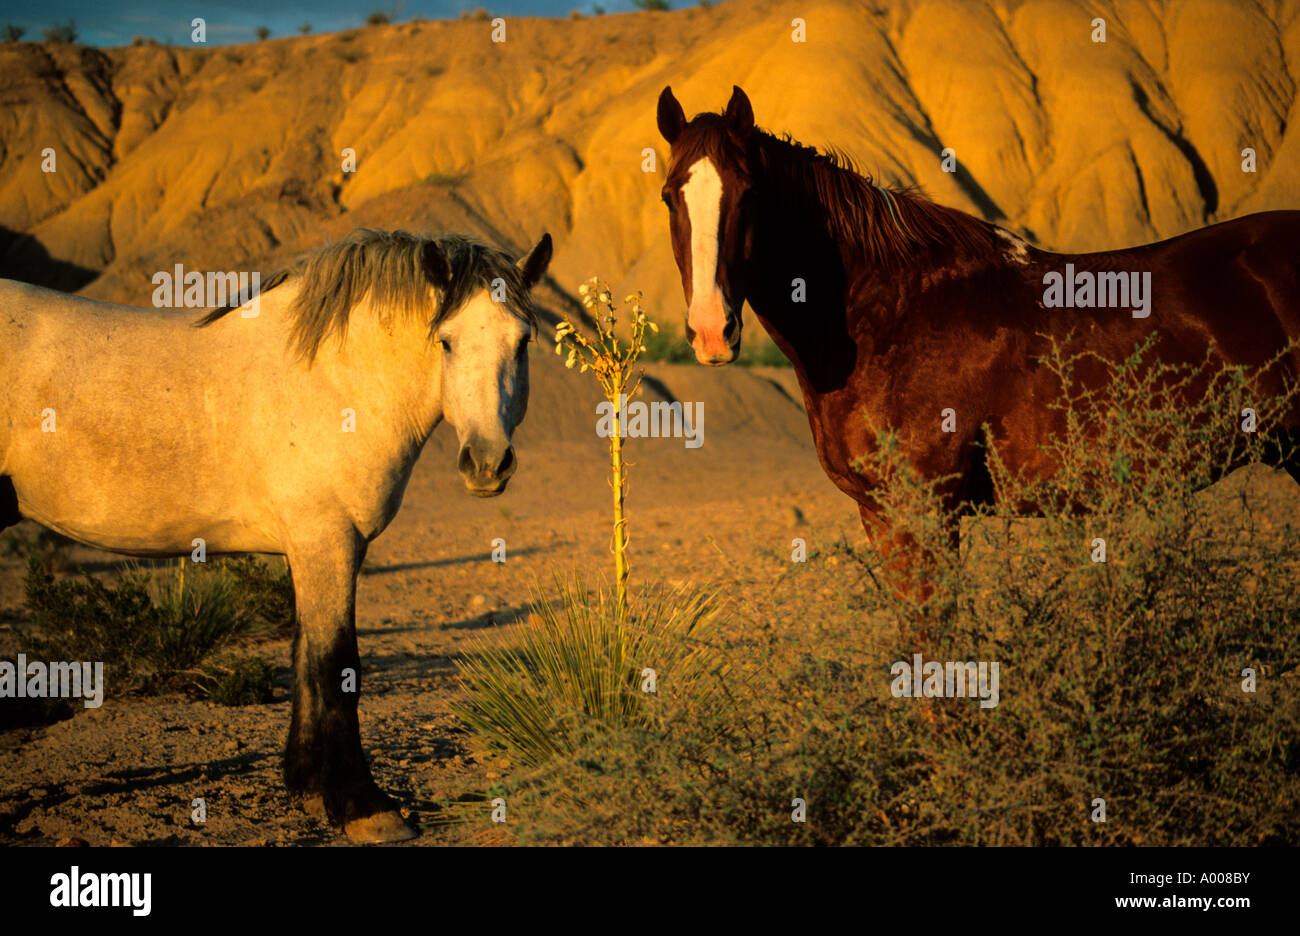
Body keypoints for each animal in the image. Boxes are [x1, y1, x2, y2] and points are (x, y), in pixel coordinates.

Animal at [0, 228, 552, 842]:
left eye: (522, 342)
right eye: (448, 342)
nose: (487, 463)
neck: (335, 378)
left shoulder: (316, 546)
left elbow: (305, 658)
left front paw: (311, 791)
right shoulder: (326, 539)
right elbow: (334, 664)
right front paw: (366, 808)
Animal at [655, 85, 1300, 573]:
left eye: (750, 196)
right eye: (668, 198)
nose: (711, 331)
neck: (886, 315)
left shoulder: (923, 511)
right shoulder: (882, 515)